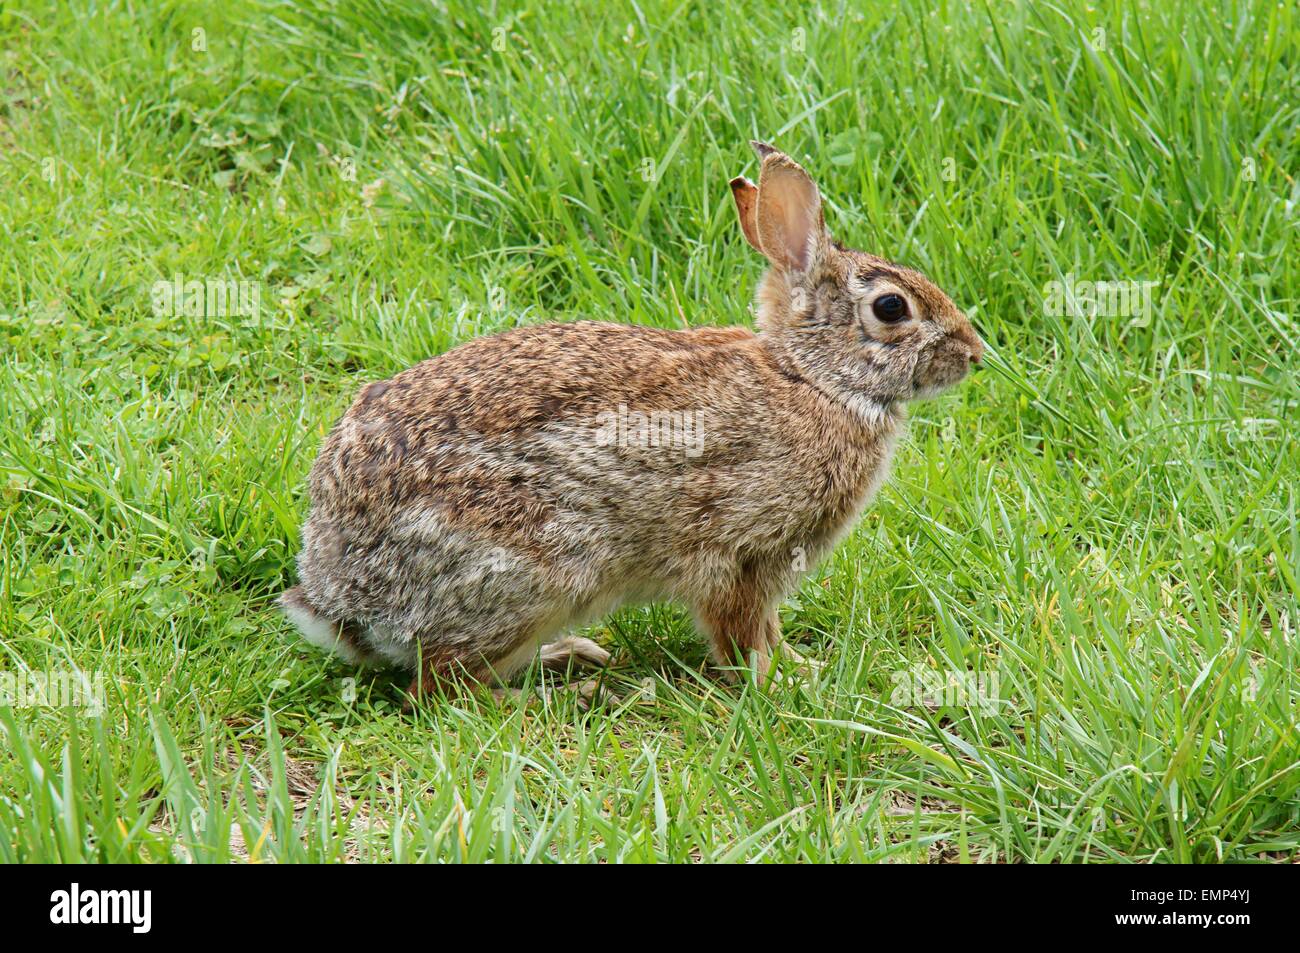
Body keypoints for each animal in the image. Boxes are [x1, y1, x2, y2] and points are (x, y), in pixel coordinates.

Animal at [280, 140, 984, 704]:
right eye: (891, 308)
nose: (974, 354)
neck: (811, 378)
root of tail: (337, 597)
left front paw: (796, 667)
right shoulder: (737, 553)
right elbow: (741, 631)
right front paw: (781, 681)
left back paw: (570, 657)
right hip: (535, 573)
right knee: (440, 689)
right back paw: (564, 693)